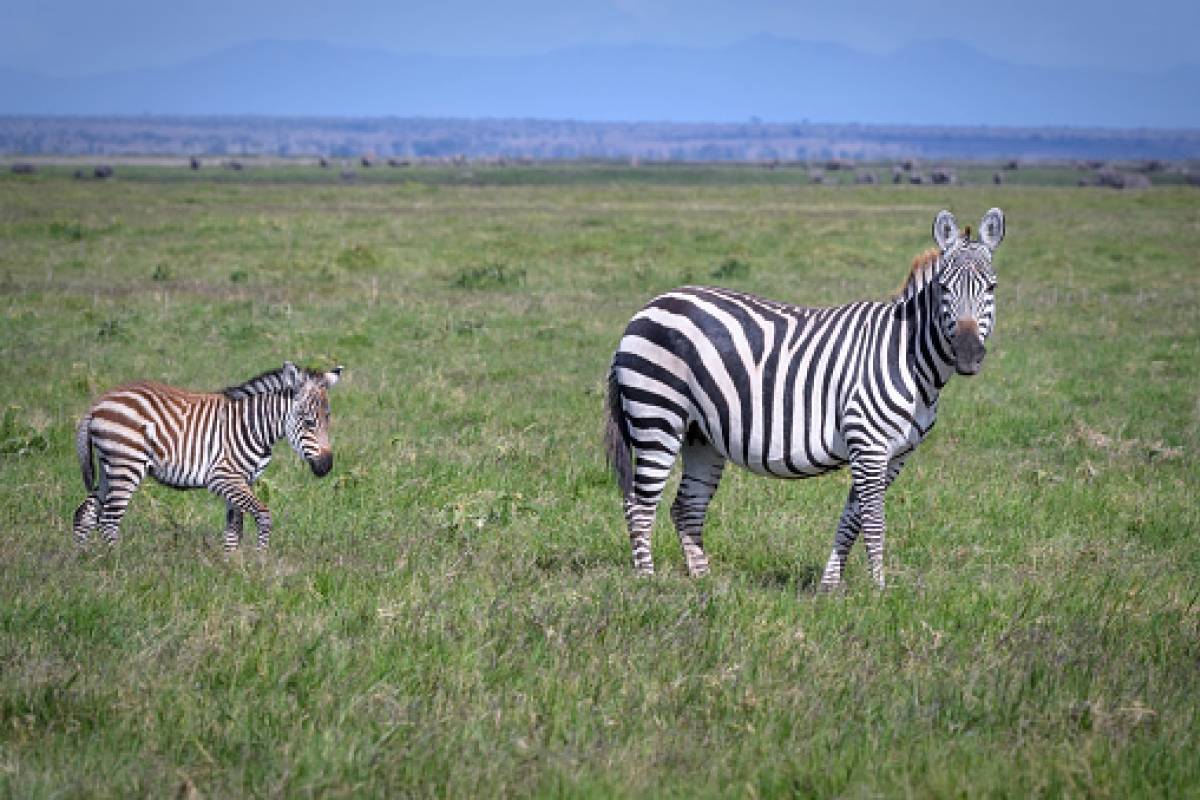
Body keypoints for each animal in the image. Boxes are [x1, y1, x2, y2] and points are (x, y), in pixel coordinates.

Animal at [72, 362, 342, 551]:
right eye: (309, 422)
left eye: (328, 419)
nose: (326, 467)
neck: (253, 427)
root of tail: (98, 403)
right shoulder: (223, 477)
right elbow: (263, 516)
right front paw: (260, 562)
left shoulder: (242, 480)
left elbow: (234, 529)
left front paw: (232, 570)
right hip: (126, 465)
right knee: (108, 521)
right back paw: (117, 564)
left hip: (109, 467)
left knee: (85, 513)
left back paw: (83, 562)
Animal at [604, 208, 1004, 589]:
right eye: (944, 288)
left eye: (992, 287)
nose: (968, 355)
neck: (906, 356)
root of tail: (647, 308)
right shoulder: (868, 444)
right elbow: (874, 522)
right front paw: (879, 590)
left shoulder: (895, 455)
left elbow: (852, 518)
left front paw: (830, 587)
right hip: (657, 414)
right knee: (640, 505)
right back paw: (648, 583)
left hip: (699, 434)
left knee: (686, 507)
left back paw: (704, 582)